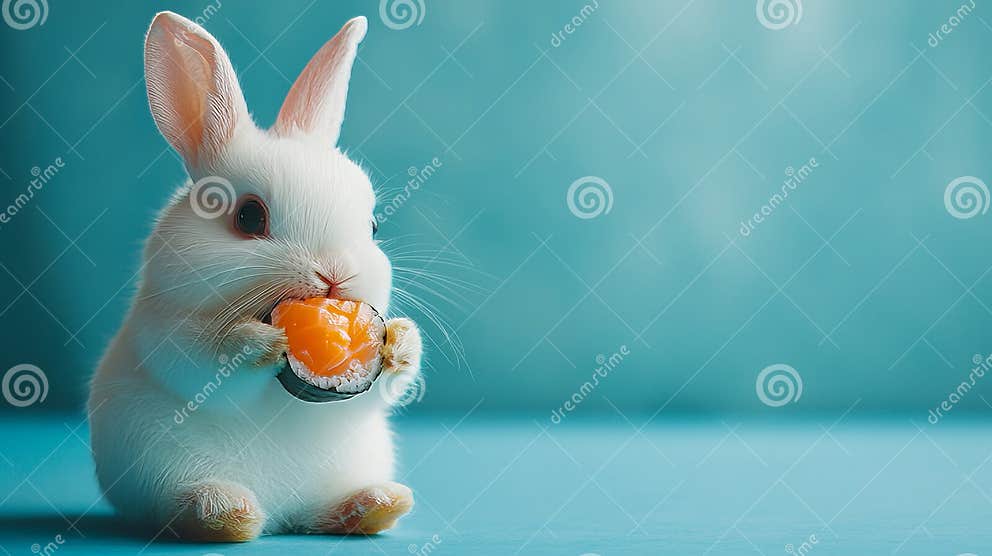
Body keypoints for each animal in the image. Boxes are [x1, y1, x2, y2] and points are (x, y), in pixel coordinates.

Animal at [87, 11, 423, 541]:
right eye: (249, 217)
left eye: (373, 226)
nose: (334, 275)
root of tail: (284, 512)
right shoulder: (166, 328)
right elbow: (208, 360)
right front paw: (261, 342)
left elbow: (388, 387)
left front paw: (403, 342)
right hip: (163, 474)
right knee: (184, 507)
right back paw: (226, 513)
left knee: (325, 514)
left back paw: (374, 505)